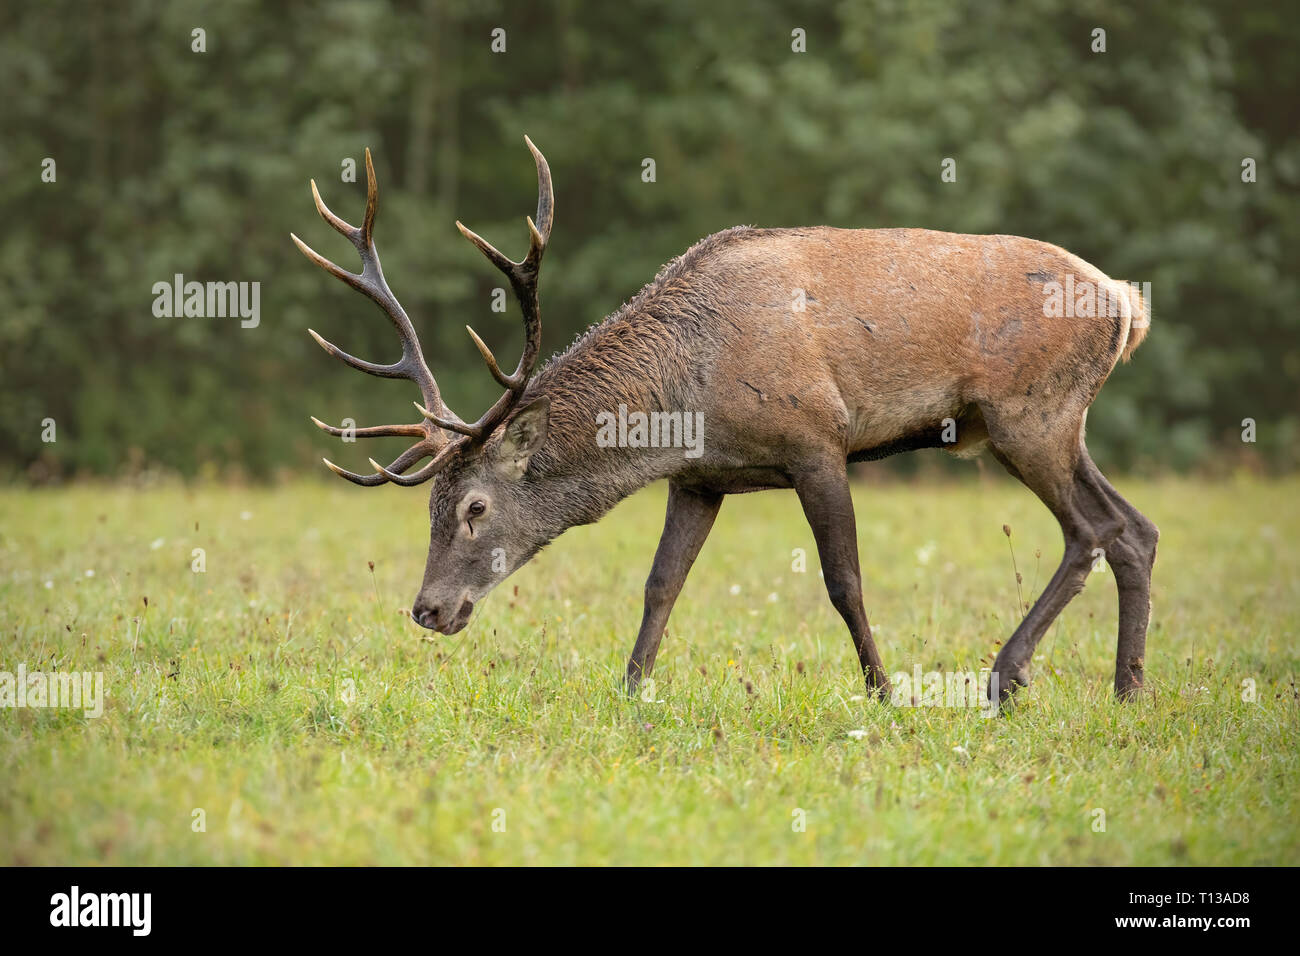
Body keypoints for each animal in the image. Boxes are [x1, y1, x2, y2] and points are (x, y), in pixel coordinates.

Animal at [291, 138, 1157, 708]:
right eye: (431, 507)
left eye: (475, 507)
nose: (428, 609)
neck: (690, 399)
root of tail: (1125, 302)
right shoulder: (700, 479)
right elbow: (660, 585)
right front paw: (631, 692)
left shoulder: (817, 441)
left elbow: (843, 580)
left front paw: (881, 692)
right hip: (1057, 421)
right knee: (1134, 528)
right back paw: (1127, 689)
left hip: (1027, 413)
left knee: (1090, 530)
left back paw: (1005, 677)